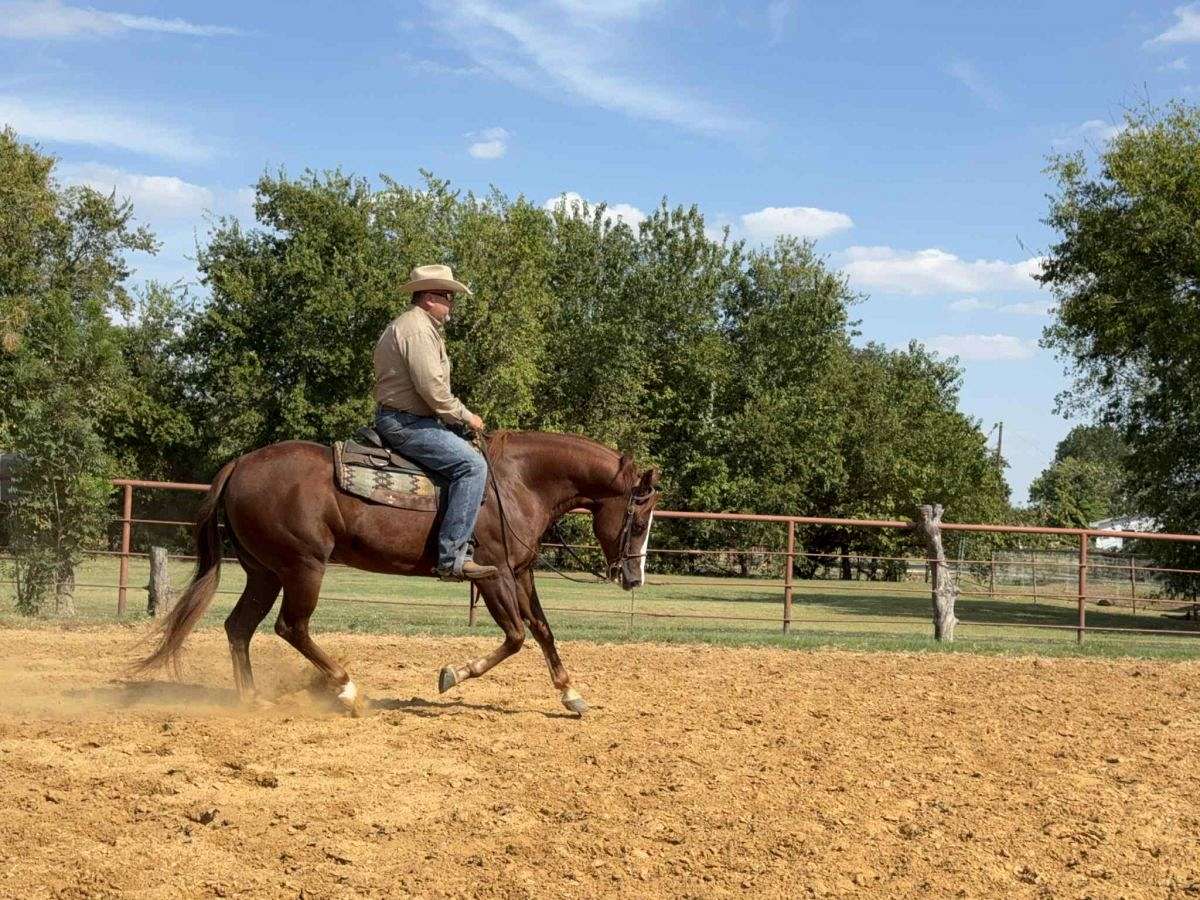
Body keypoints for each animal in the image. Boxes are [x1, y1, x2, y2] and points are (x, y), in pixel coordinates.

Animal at [134, 430, 660, 715]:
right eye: (638, 520)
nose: (634, 578)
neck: (515, 484)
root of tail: (241, 465)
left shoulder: (521, 571)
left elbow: (543, 631)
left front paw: (571, 695)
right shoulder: (491, 574)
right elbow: (515, 637)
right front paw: (451, 674)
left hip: (264, 572)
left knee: (239, 627)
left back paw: (252, 700)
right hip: (303, 567)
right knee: (290, 626)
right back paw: (346, 689)